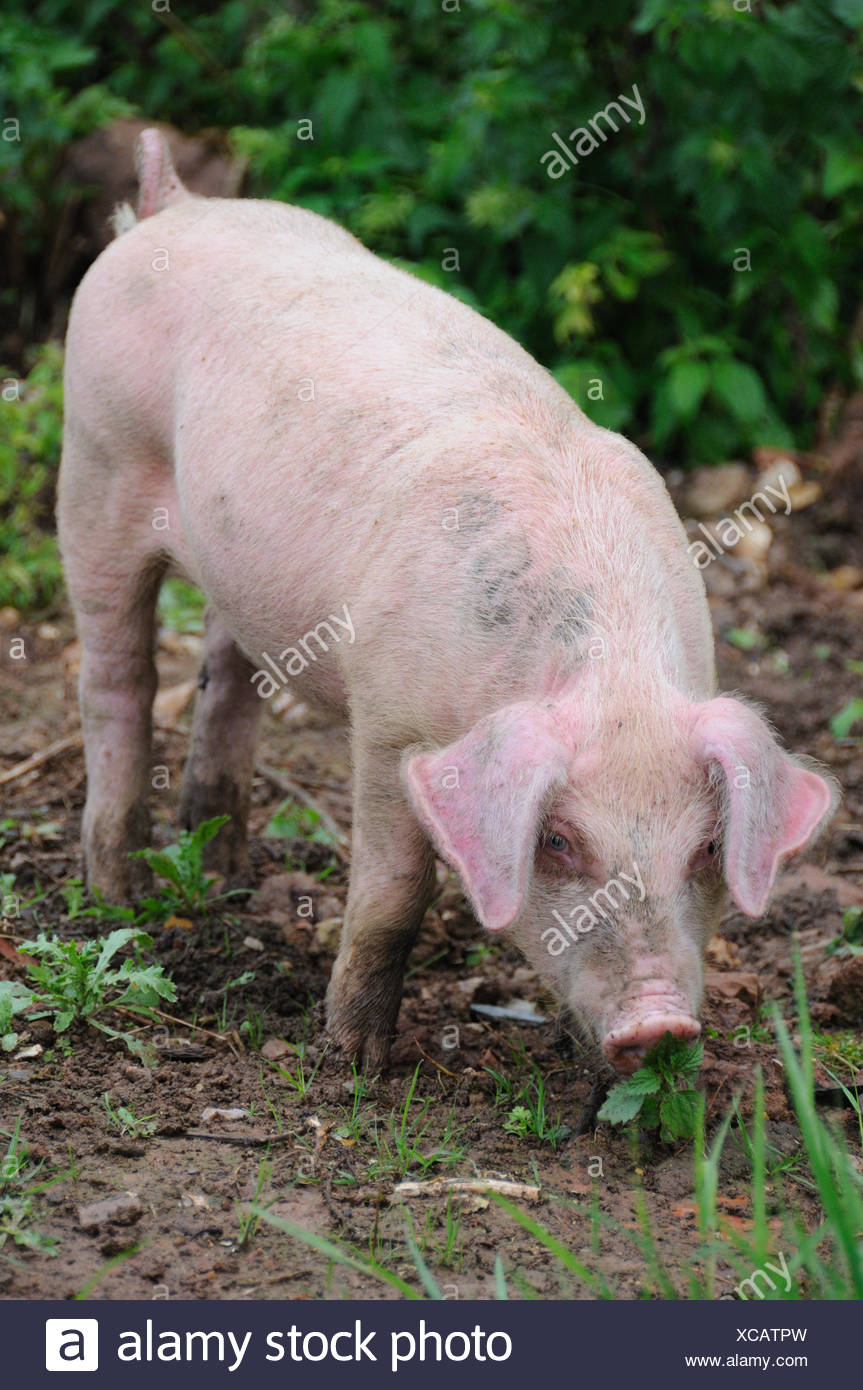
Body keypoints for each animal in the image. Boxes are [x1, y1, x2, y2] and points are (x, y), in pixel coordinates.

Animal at [57, 130, 838, 1078]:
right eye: (557, 840)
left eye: (708, 848)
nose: (657, 1027)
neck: (603, 668)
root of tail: (172, 204)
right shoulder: (387, 724)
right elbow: (396, 891)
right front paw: (355, 1061)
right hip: (92, 468)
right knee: (115, 679)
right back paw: (118, 893)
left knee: (228, 677)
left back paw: (230, 872)